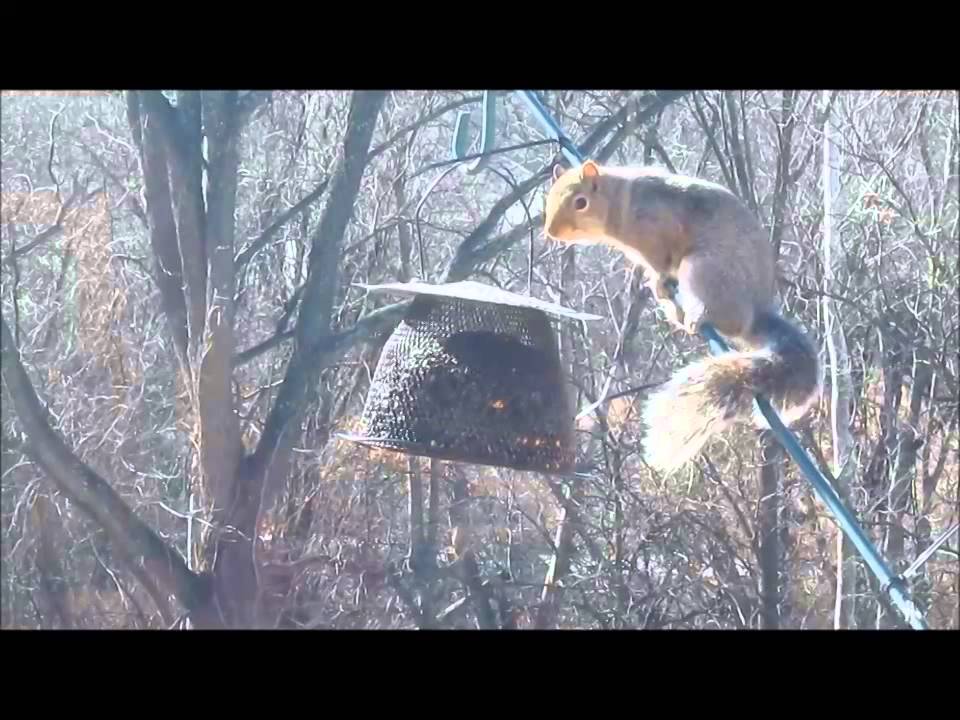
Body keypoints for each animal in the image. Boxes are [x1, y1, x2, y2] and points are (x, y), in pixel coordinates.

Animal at [543, 159, 819, 474]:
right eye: (548, 198)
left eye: (581, 202)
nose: (551, 232)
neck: (621, 203)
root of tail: (755, 314)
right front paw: (656, 283)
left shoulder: (660, 224)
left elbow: (664, 259)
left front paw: (659, 278)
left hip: (703, 269)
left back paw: (696, 316)